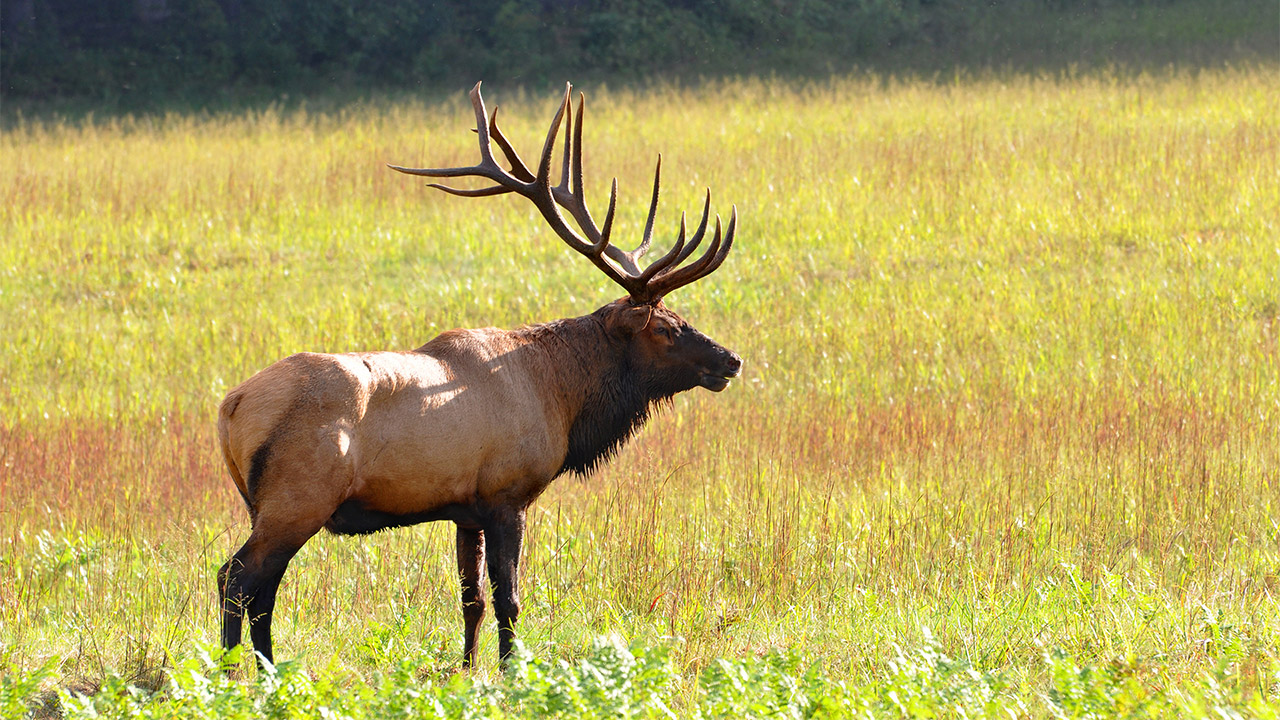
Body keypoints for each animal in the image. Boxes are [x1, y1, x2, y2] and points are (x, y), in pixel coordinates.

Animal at [216, 82, 741, 668]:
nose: (730, 360)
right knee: (236, 578)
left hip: (266, 505)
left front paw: (466, 670)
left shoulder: (464, 510)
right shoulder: (506, 494)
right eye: (667, 327)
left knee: (262, 590)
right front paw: (513, 671)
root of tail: (231, 406)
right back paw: (232, 672)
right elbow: (509, 598)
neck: (563, 397)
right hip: (297, 498)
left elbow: (471, 600)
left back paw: (266, 671)